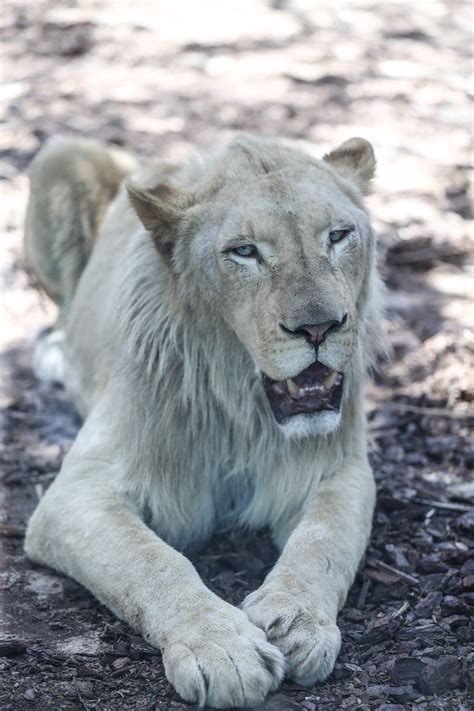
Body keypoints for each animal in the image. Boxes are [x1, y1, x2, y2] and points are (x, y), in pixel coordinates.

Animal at [24, 133, 383, 708]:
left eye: (338, 235)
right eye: (245, 251)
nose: (319, 327)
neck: (240, 404)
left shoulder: (341, 470)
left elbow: (324, 541)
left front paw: (299, 621)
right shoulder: (74, 494)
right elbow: (152, 561)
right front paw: (223, 650)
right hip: (59, 156)